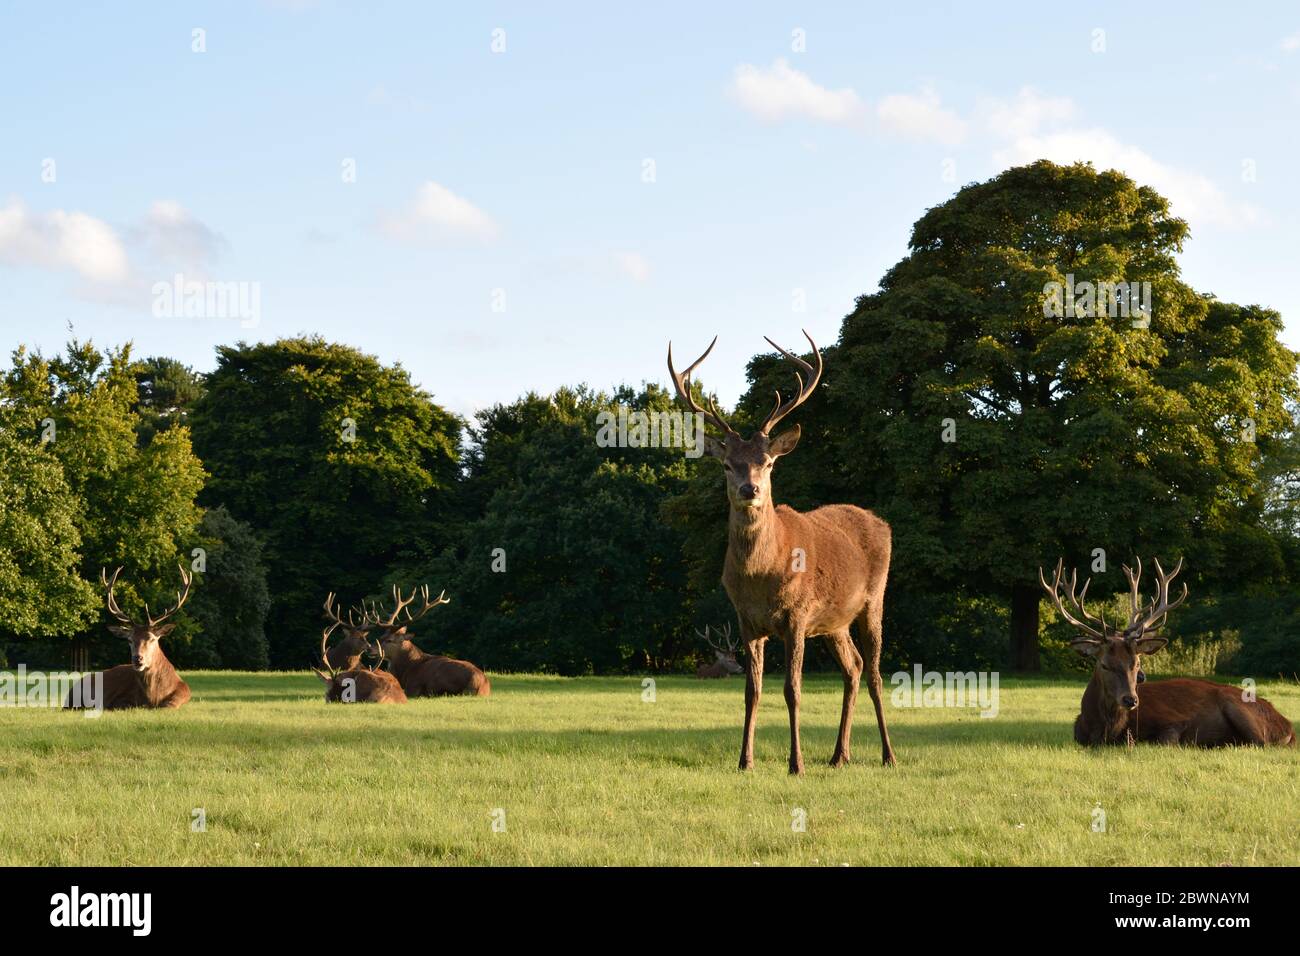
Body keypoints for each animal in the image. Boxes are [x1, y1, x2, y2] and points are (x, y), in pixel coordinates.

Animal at [64, 566, 193, 711]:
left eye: (152, 639)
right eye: (129, 640)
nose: (137, 658)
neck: (154, 697)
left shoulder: (183, 694)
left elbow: (168, 705)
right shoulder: (119, 699)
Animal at [669, 331, 896, 774]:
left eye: (769, 463)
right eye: (727, 465)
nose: (750, 489)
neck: (762, 576)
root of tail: (883, 523)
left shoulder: (797, 614)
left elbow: (792, 689)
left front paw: (796, 763)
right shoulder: (746, 621)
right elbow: (751, 692)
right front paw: (745, 761)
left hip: (874, 598)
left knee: (877, 674)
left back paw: (887, 755)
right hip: (835, 621)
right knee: (854, 668)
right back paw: (838, 755)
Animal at [1040, 557, 1295, 748]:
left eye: (1136, 663)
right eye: (1104, 664)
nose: (1131, 699)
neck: (1103, 731)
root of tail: (1288, 726)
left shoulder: (1174, 721)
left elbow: (1163, 740)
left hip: (1238, 706)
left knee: (1260, 742)